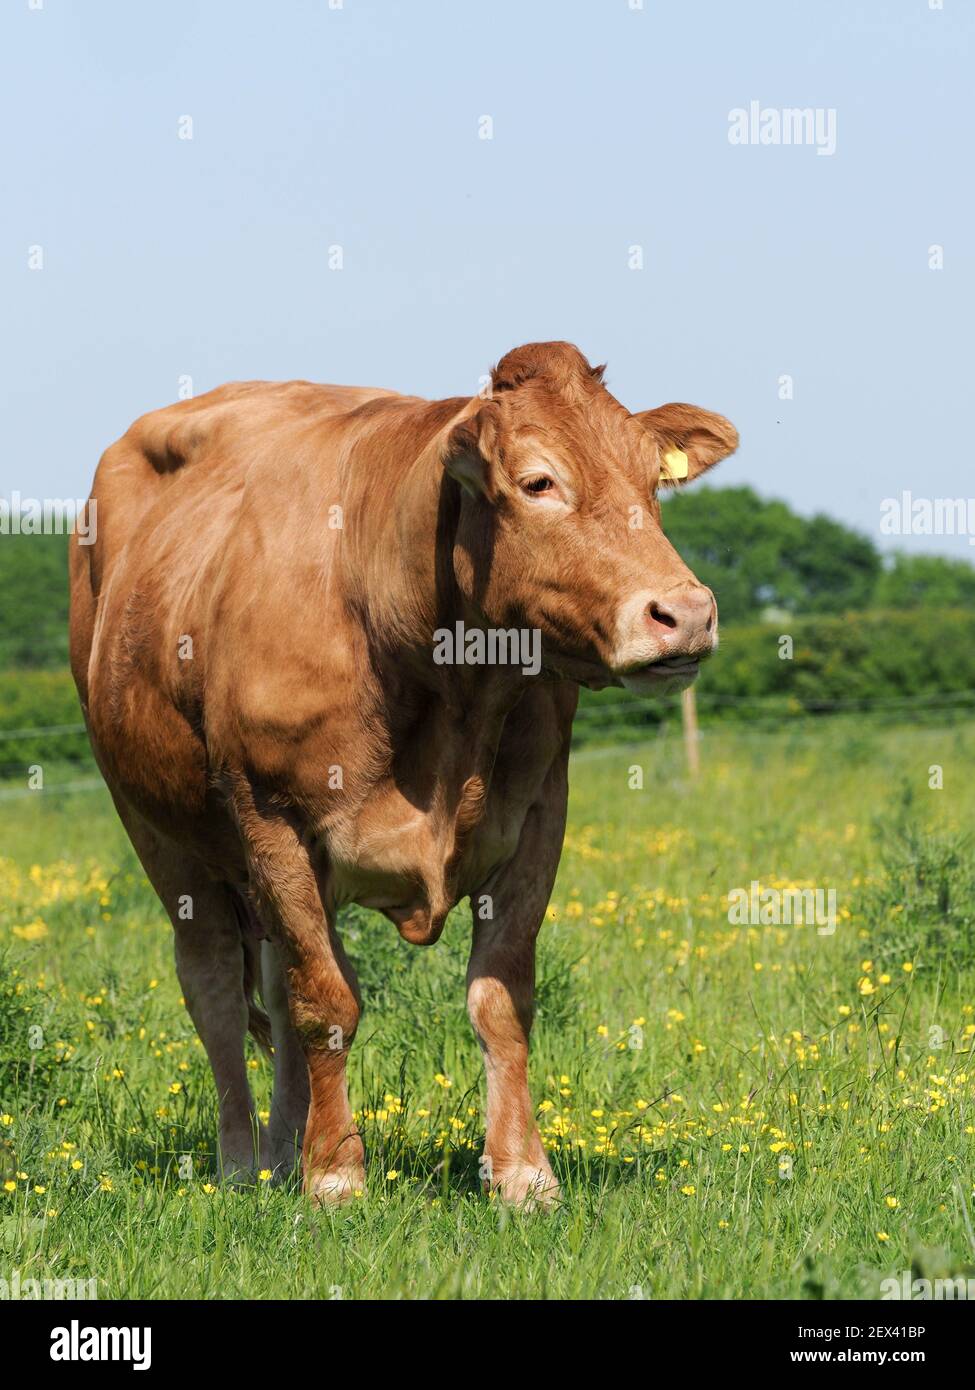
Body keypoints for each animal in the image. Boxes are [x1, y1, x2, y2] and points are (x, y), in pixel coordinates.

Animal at [68, 341, 737, 1206]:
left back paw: (285, 1151)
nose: (684, 614)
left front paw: (522, 1174)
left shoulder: (536, 815)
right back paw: (243, 1164)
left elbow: (499, 999)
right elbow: (324, 1003)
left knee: (275, 987)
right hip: (160, 832)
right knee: (214, 987)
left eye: (652, 482)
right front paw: (336, 1177)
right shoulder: (269, 814)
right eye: (538, 482)